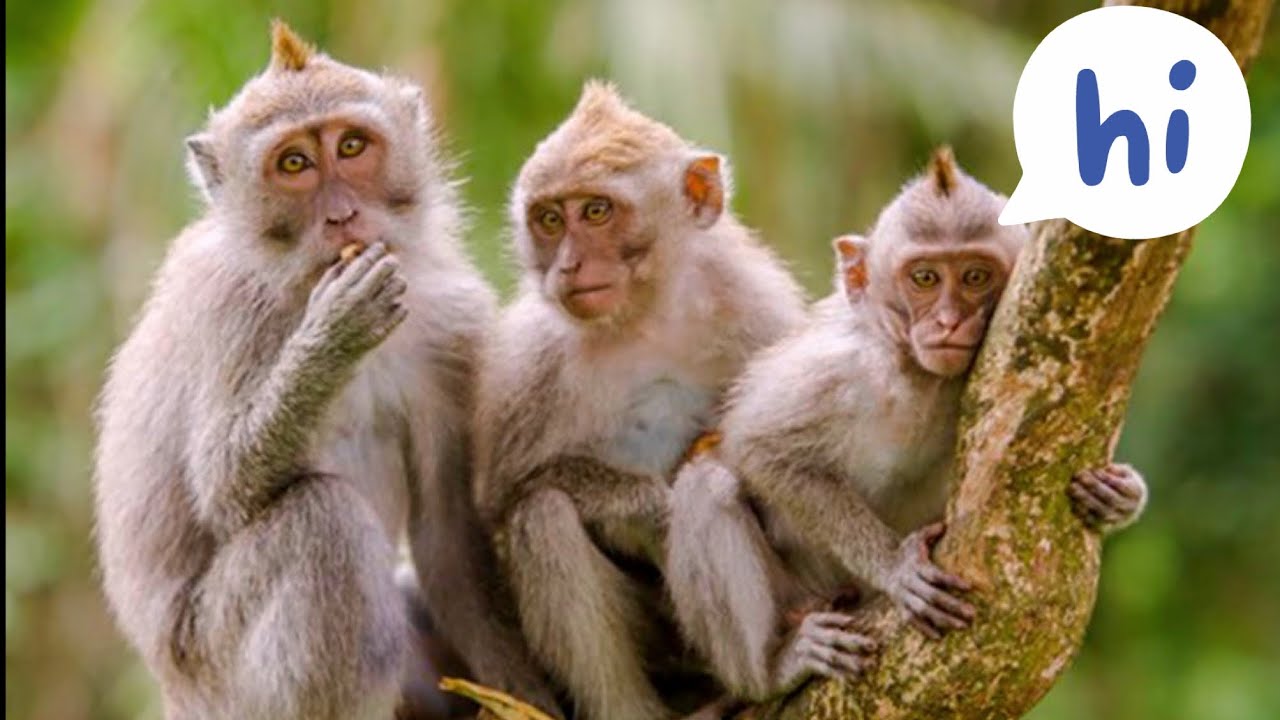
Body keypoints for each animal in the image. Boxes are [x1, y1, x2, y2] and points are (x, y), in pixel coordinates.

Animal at [91, 22, 561, 720]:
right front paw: (334, 333)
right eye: (294, 164)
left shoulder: (453, 328)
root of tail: (172, 688)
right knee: (321, 523)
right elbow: (224, 486)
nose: (342, 215)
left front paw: (524, 696)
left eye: (351, 146)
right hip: (220, 673)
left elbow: (448, 532)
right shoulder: (230, 308)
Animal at [470, 80, 822, 720]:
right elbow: (498, 505)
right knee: (542, 518)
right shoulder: (527, 363)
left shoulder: (759, 311)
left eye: (596, 211)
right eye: (550, 219)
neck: (643, 319)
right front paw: (648, 508)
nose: (568, 265)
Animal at [665, 146, 1149, 703]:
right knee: (707, 484)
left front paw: (1118, 494)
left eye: (975, 277)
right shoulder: (839, 368)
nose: (948, 322)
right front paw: (897, 569)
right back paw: (770, 672)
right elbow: (759, 445)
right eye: (925, 279)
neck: (917, 375)